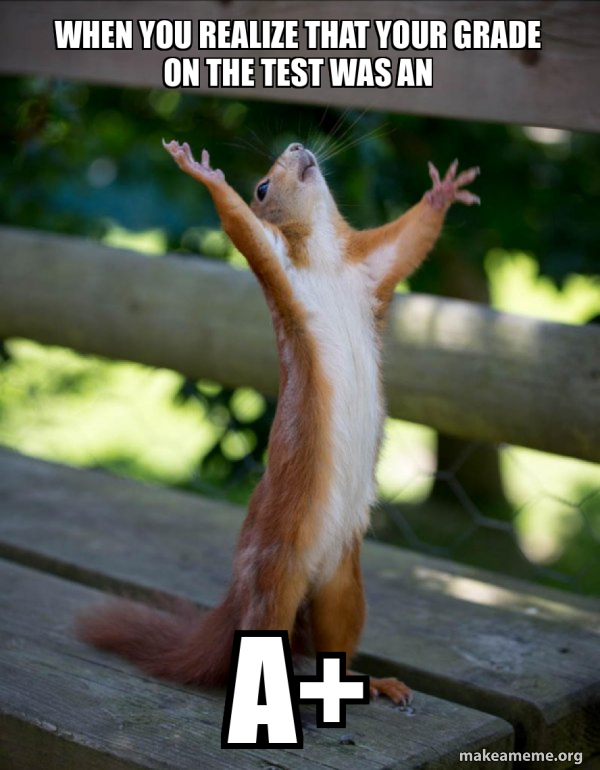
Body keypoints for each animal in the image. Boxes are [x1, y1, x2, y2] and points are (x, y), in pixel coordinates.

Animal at [78, 139, 479, 705]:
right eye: (262, 187)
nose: (296, 146)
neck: (327, 259)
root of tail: (239, 593)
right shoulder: (277, 265)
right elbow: (240, 226)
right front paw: (204, 173)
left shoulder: (372, 267)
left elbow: (410, 239)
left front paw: (442, 192)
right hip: (274, 581)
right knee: (268, 639)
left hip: (343, 588)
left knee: (337, 643)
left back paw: (371, 683)